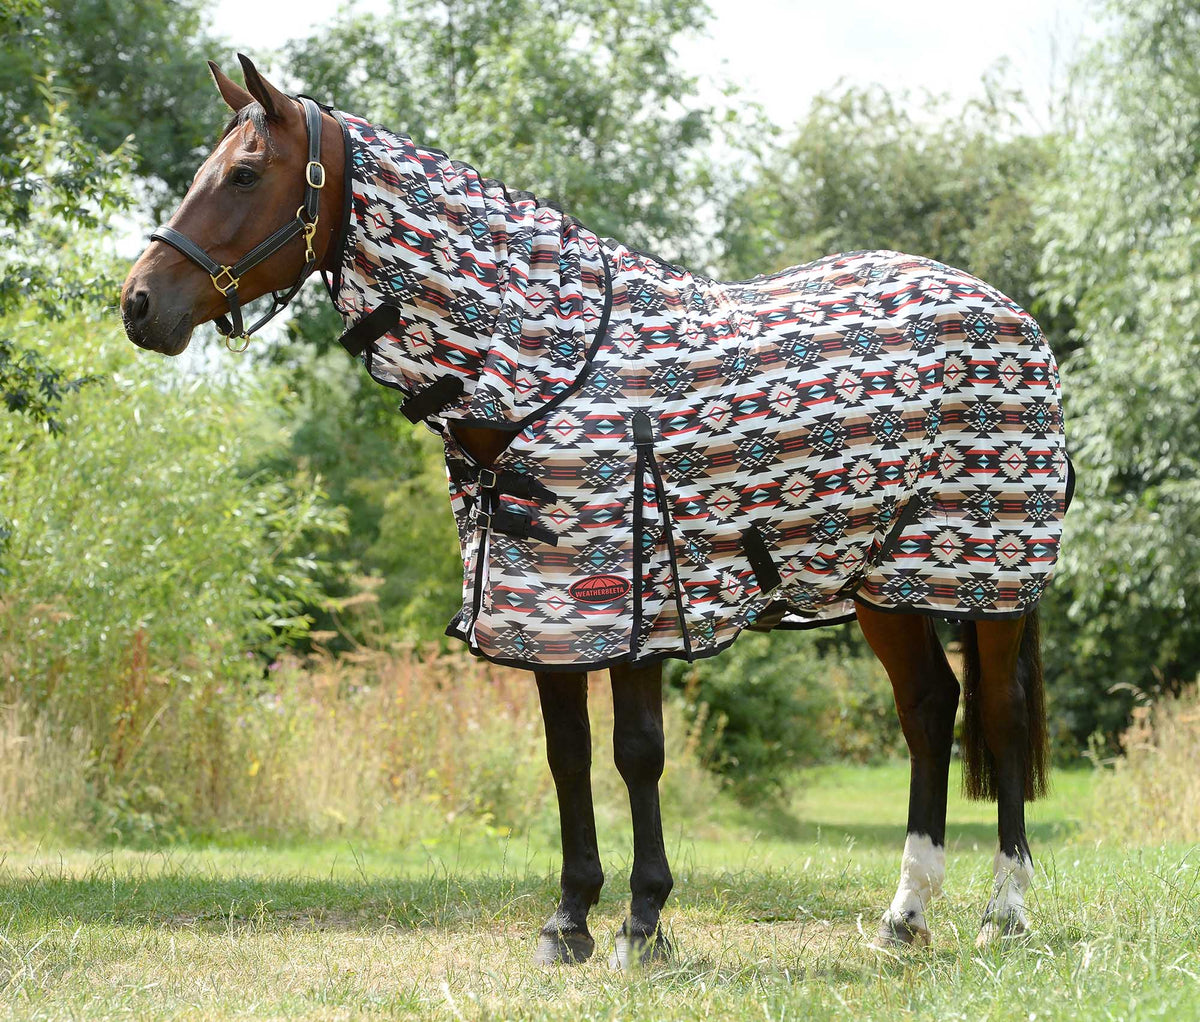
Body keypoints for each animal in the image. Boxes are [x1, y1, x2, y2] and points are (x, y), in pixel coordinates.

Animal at [121, 55, 1070, 966]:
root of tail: (1009, 312)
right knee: (929, 712)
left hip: (990, 578)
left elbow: (636, 754)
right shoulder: (541, 610)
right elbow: (567, 756)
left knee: (999, 718)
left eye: (245, 174)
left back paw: (1005, 915)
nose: (138, 304)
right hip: (884, 585)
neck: (554, 367)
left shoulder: (638, 601)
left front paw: (643, 924)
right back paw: (904, 918)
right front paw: (569, 920)